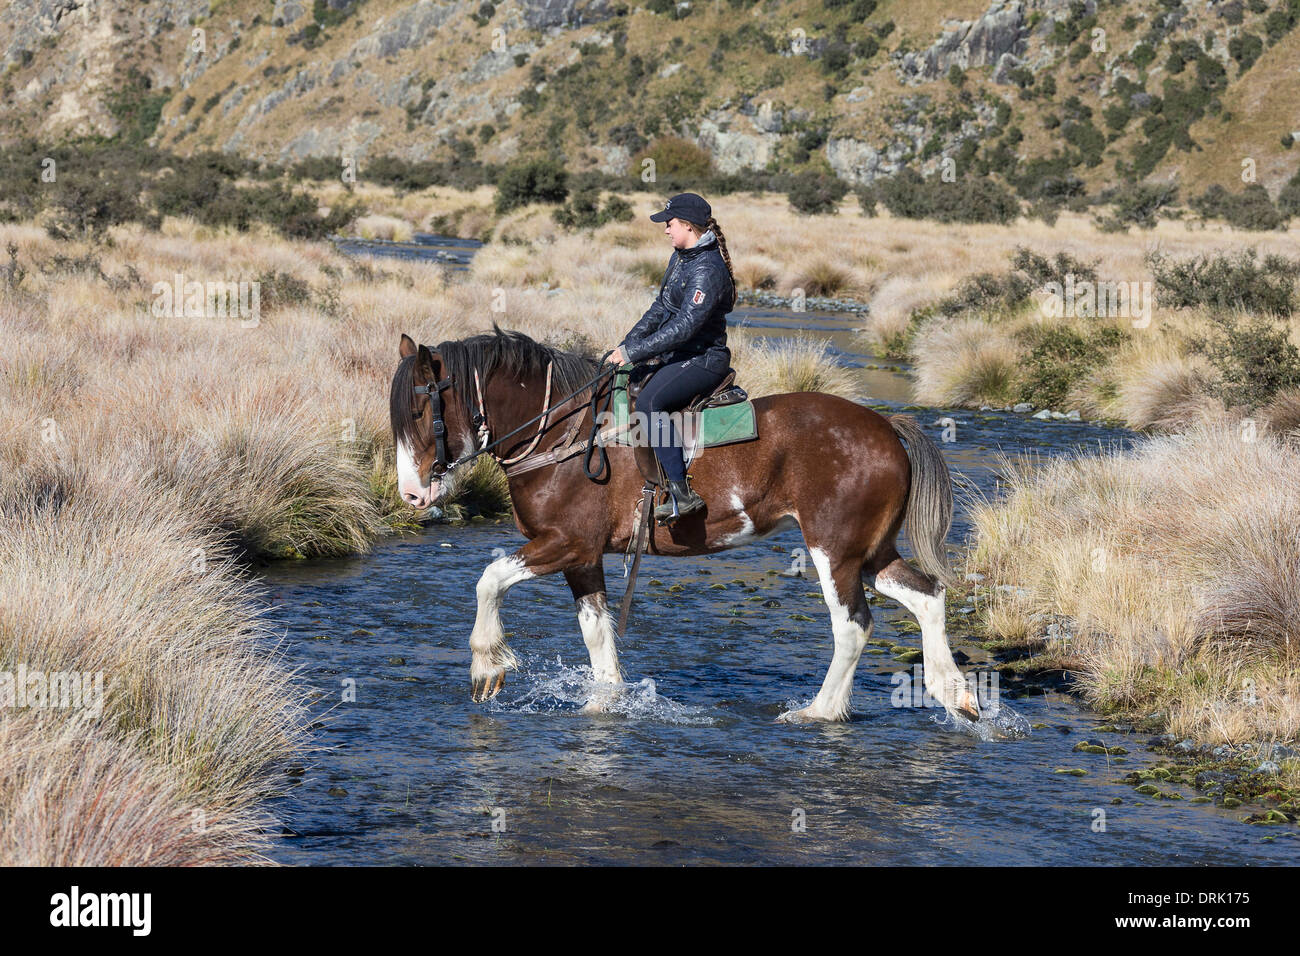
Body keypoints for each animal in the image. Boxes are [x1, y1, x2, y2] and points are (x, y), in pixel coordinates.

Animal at [390, 327, 981, 723]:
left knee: (853, 625)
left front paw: (487, 667)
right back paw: (954, 693)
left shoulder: (564, 544)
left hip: (833, 551)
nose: (413, 495)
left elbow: (488, 580)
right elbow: (597, 634)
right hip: (871, 551)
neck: (564, 433)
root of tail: (886, 426)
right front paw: (607, 702)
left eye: (420, 414)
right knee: (927, 595)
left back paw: (820, 711)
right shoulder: (583, 557)